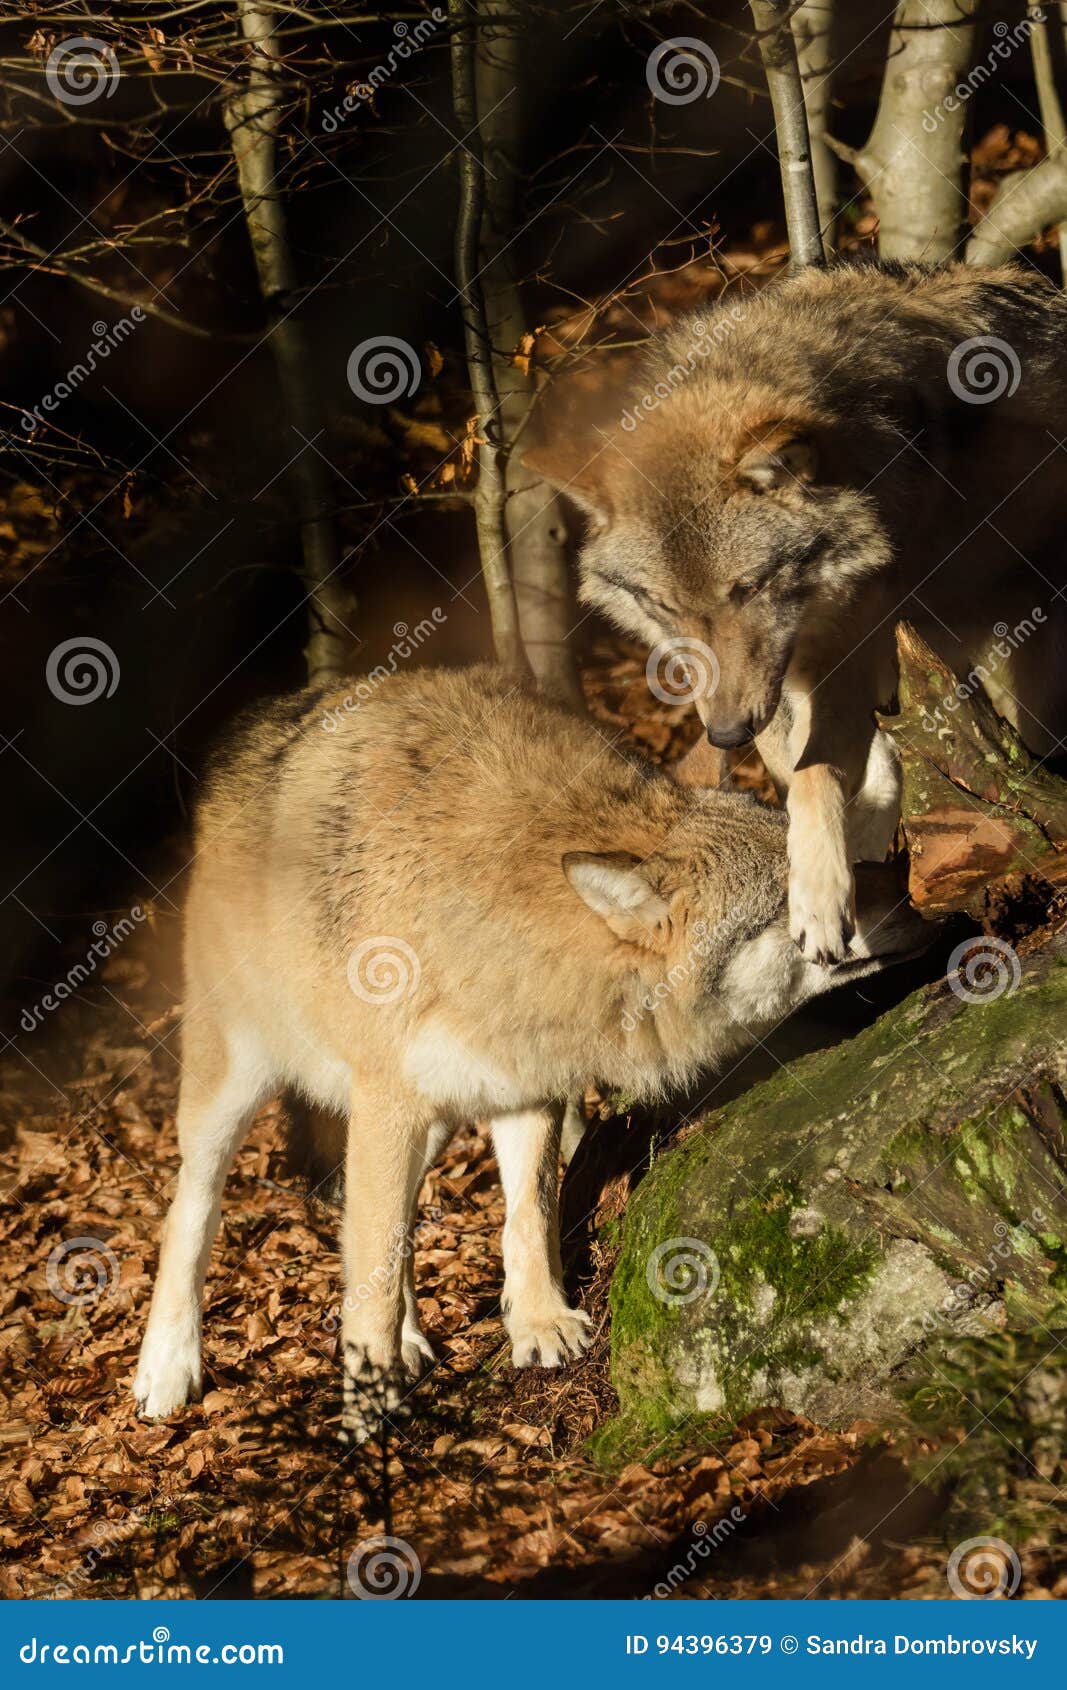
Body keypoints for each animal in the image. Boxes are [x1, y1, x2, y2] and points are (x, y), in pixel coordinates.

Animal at [133, 665, 928, 1442]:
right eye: (804, 906)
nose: (914, 897)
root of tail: (262, 718)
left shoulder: (525, 1088)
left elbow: (526, 1214)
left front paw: (539, 1324)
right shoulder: (392, 1100)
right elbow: (371, 1266)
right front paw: (368, 1406)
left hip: (425, 1122)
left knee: (395, 1227)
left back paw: (413, 1337)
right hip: (237, 1086)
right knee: (191, 1210)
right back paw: (168, 1368)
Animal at [526, 261, 1067, 964]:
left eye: (749, 588)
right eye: (665, 605)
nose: (726, 735)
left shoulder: (854, 654)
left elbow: (819, 776)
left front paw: (818, 898)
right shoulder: (782, 688)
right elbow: (798, 774)